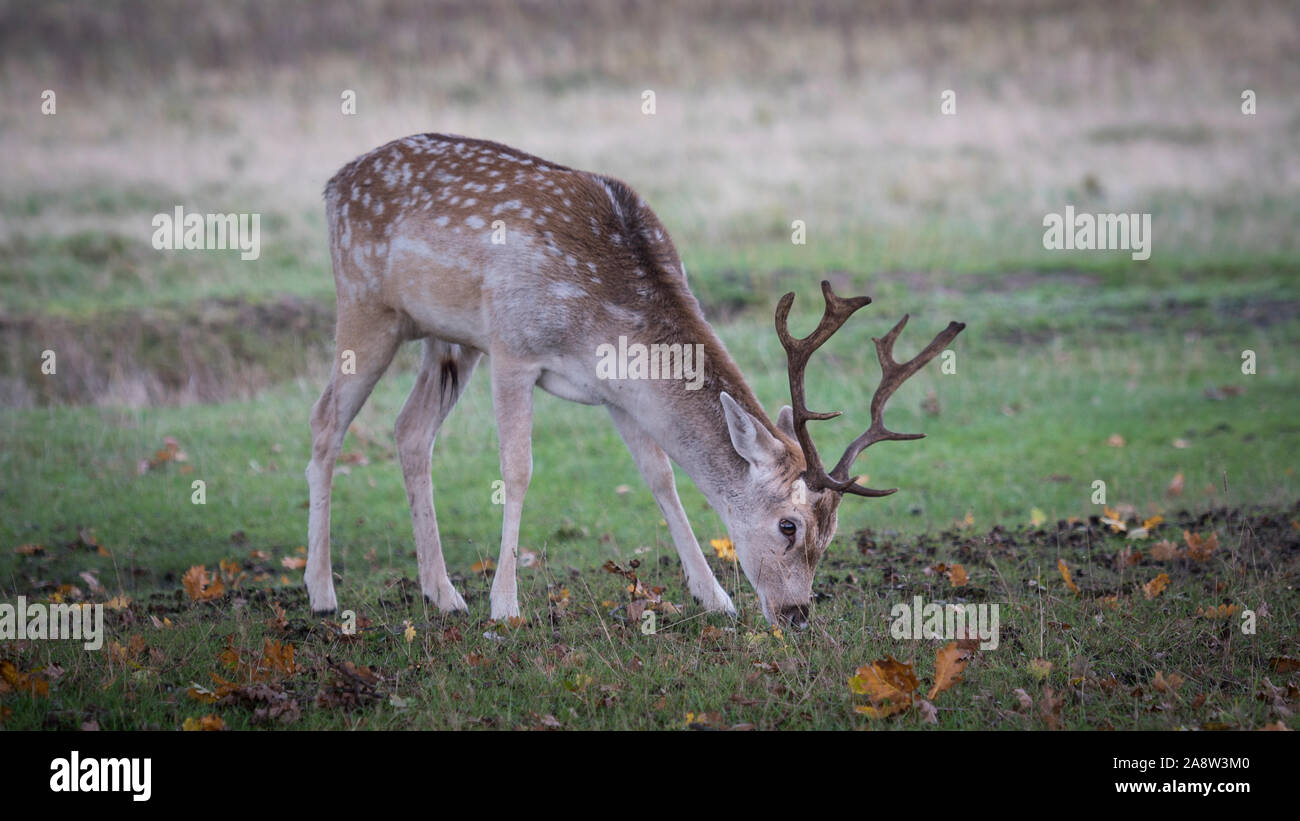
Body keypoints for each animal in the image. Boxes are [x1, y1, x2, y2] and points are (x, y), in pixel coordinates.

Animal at [305, 133, 964, 627]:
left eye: (830, 536)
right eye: (788, 524)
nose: (797, 615)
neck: (603, 318)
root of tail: (334, 183)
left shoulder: (617, 392)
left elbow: (661, 477)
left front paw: (714, 598)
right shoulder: (513, 347)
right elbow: (517, 471)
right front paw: (505, 606)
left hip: (450, 340)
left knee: (410, 431)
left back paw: (441, 593)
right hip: (366, 303)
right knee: (325, 422)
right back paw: (323, 593)